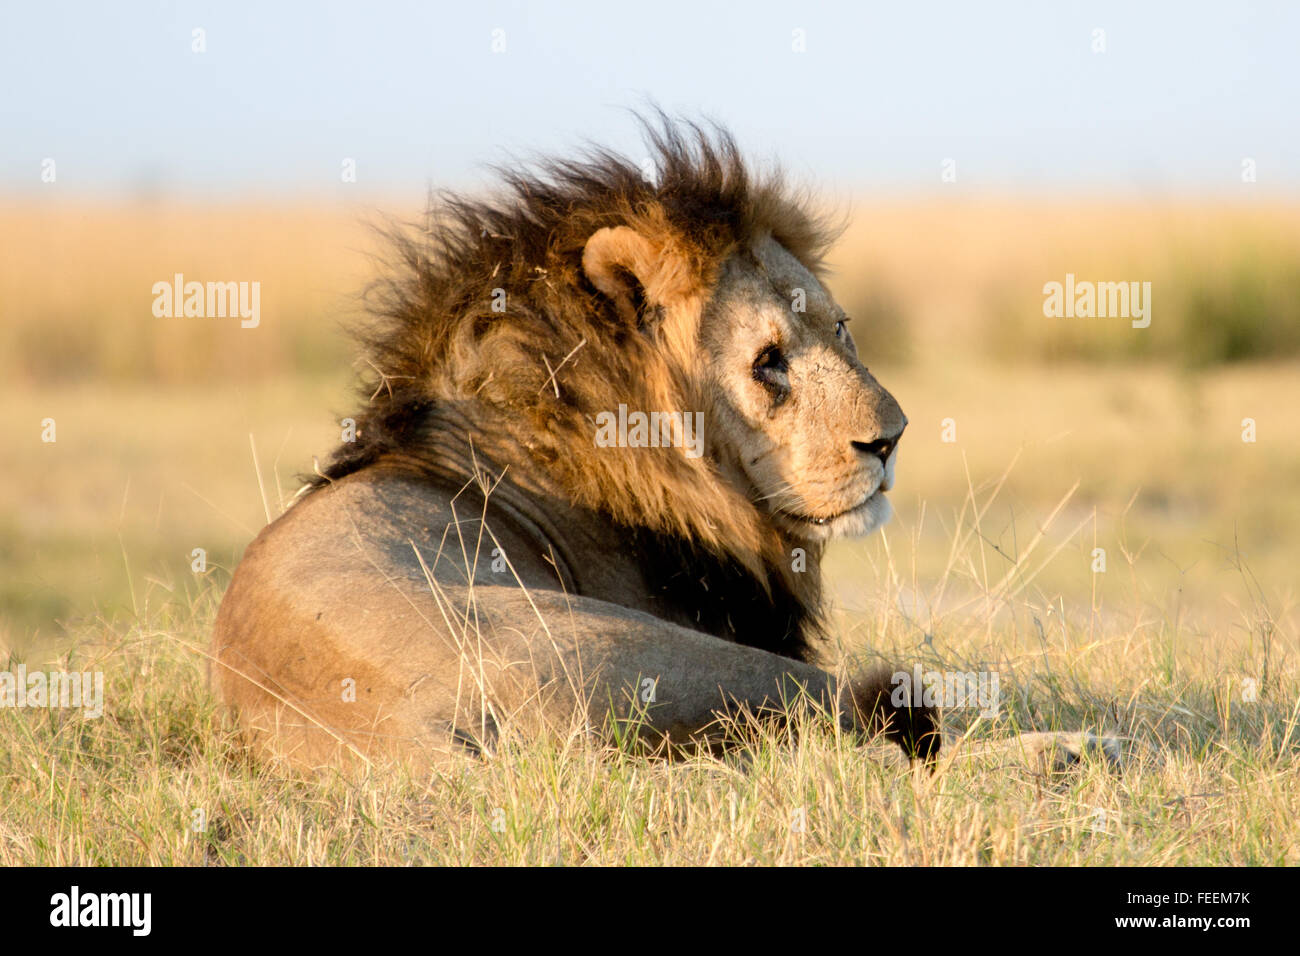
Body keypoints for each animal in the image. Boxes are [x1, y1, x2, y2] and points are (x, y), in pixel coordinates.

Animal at [212, 118, 1114, 775]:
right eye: (768, 360)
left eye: (842, 328)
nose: (890, 439)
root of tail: (418, 738)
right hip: (647, 653)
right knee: (883, 758)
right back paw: (1073, 748)